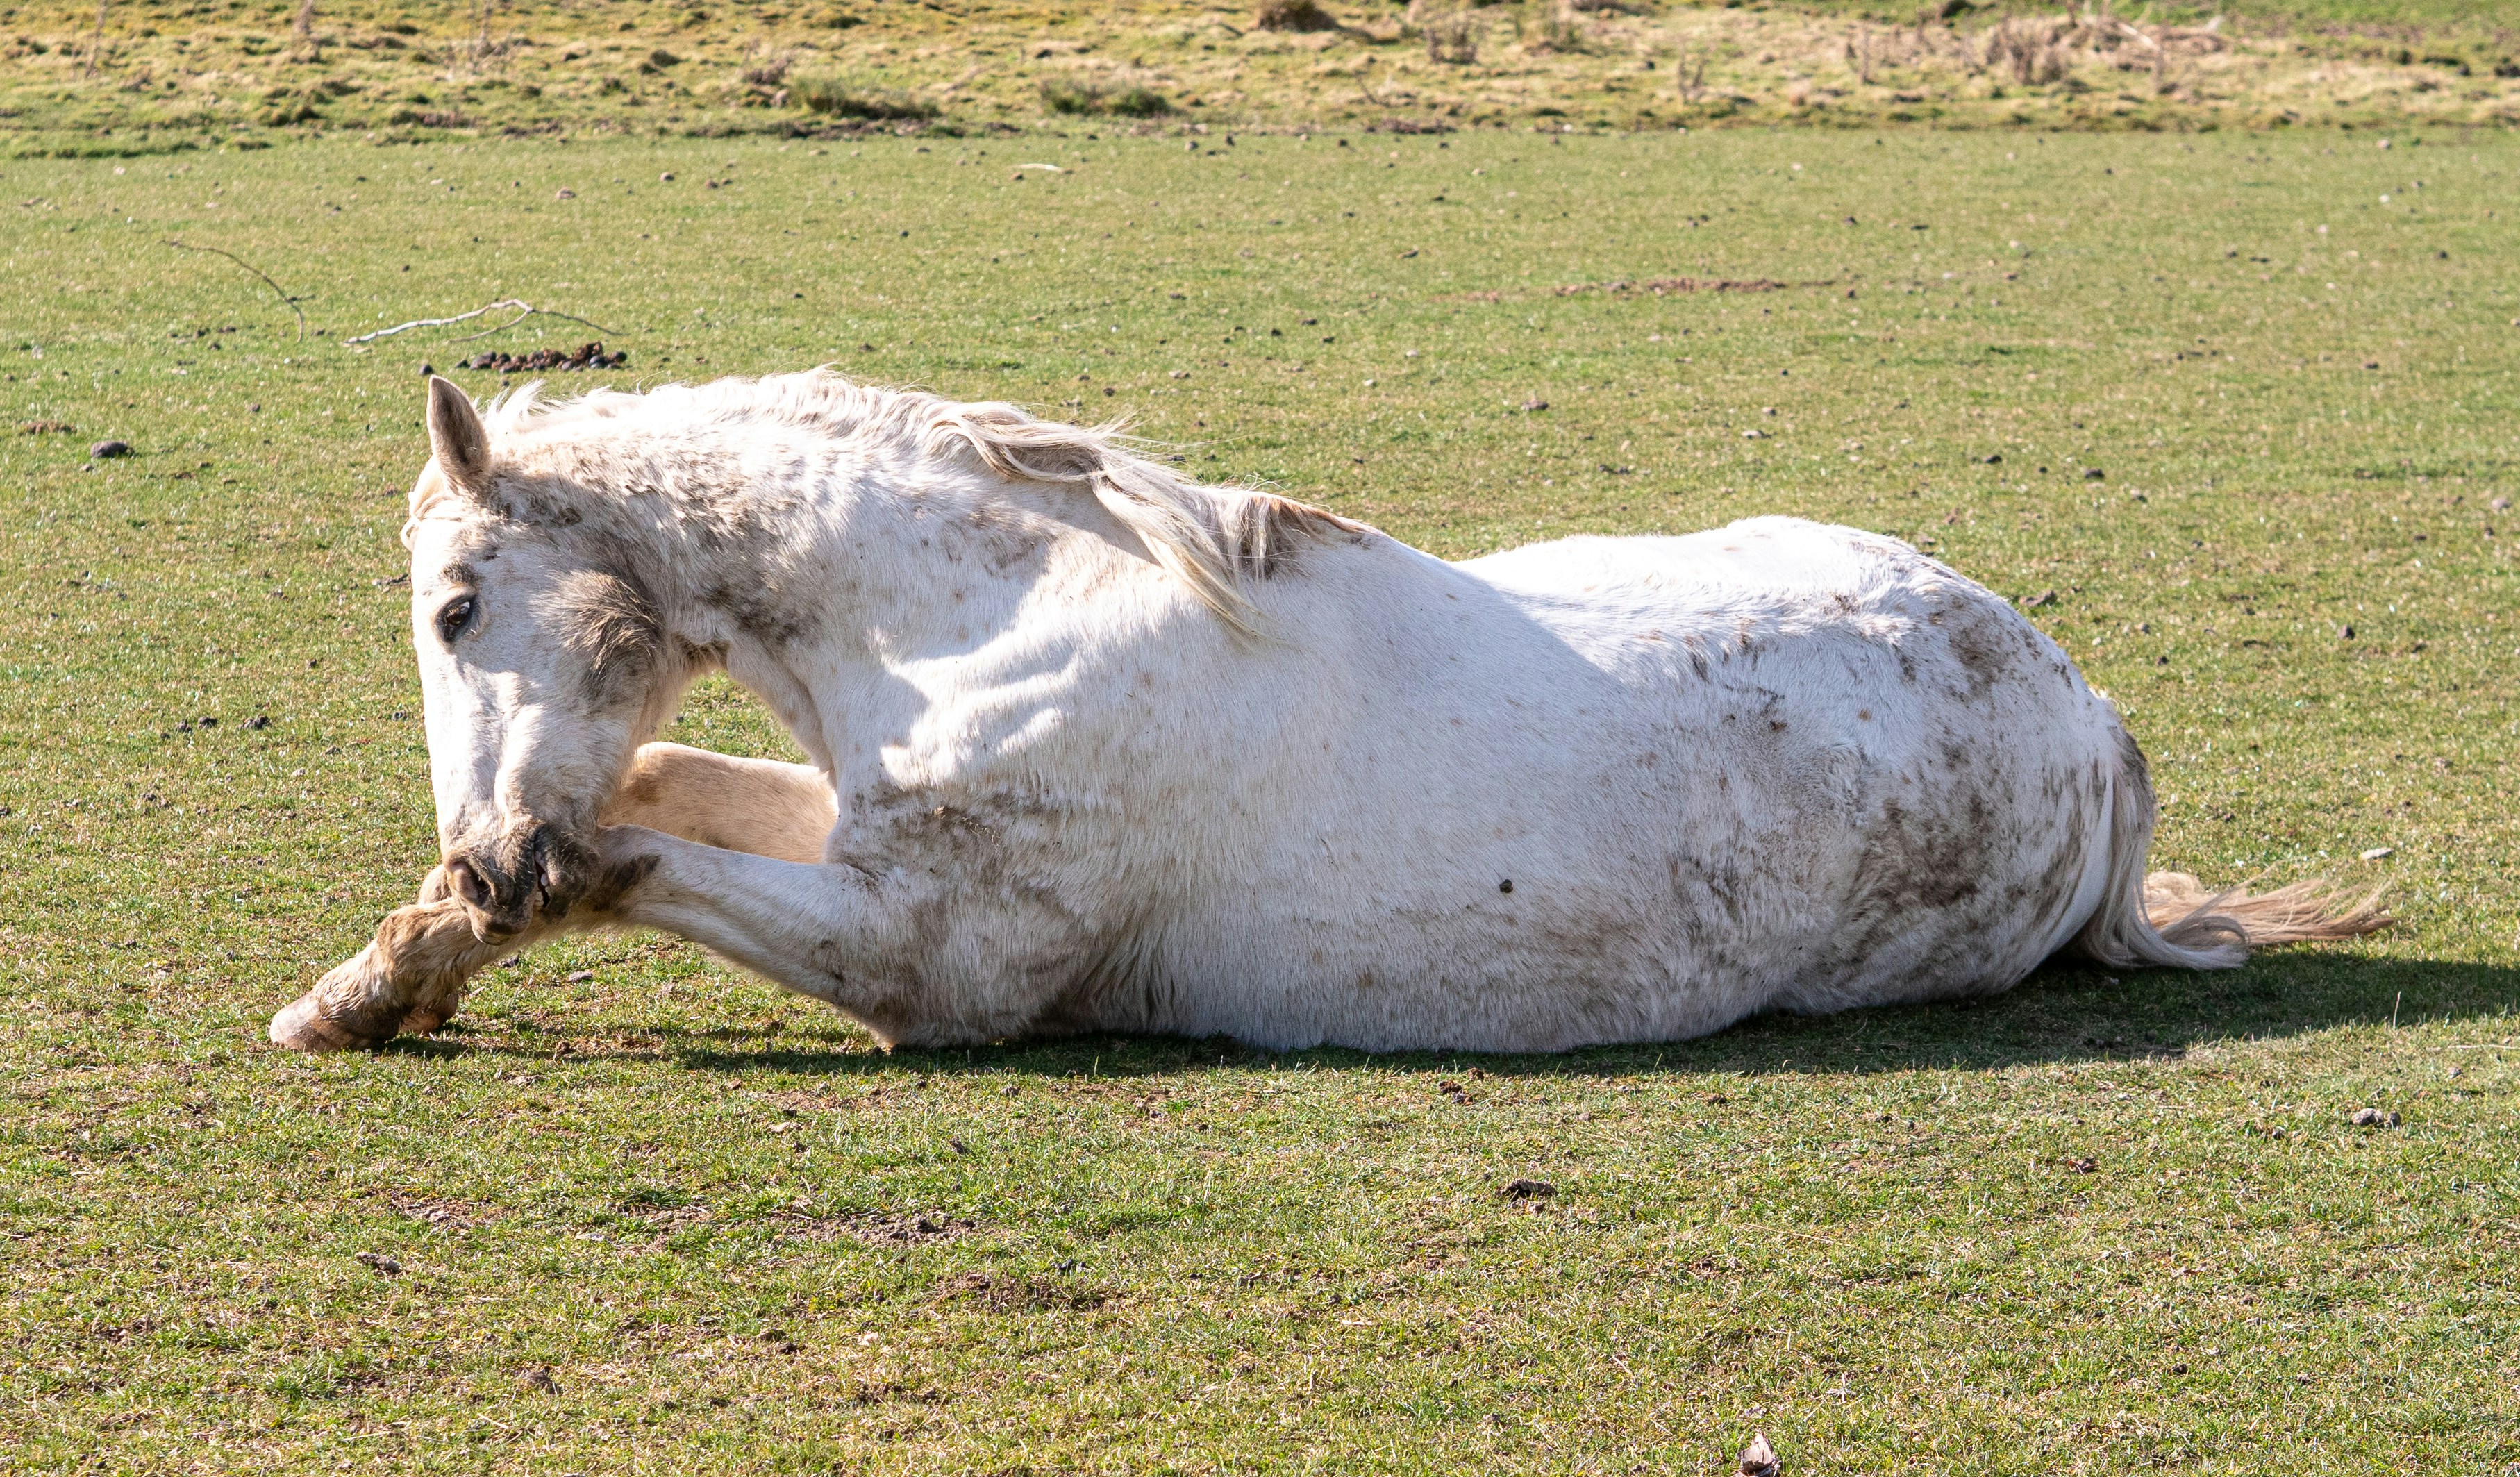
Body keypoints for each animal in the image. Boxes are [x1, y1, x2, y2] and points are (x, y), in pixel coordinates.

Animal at [269, 371, 2385, 1054]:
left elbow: (623, 848)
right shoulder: (850, 832)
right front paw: (384, 968)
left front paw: (395, 967)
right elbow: (661, 785)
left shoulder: (931, 965)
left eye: (458, 608)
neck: (989, 612)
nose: (478, 839)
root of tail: (2090, 728)